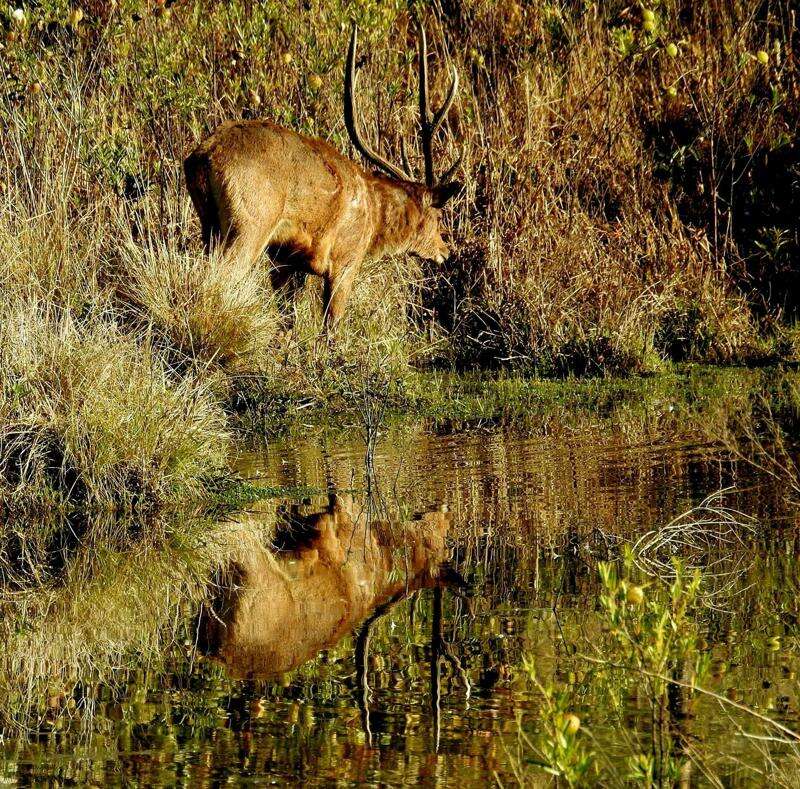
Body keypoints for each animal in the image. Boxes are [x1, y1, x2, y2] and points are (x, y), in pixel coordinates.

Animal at [183, 22, 463, 333]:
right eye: (438, 216)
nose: (446, 251)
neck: (375, 217)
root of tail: (202, 156)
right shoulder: (346, 259)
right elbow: (331, 326)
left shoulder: (286, 260)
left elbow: (288, 317)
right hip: (250, 221)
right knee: (222, 277)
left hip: (209, 223)